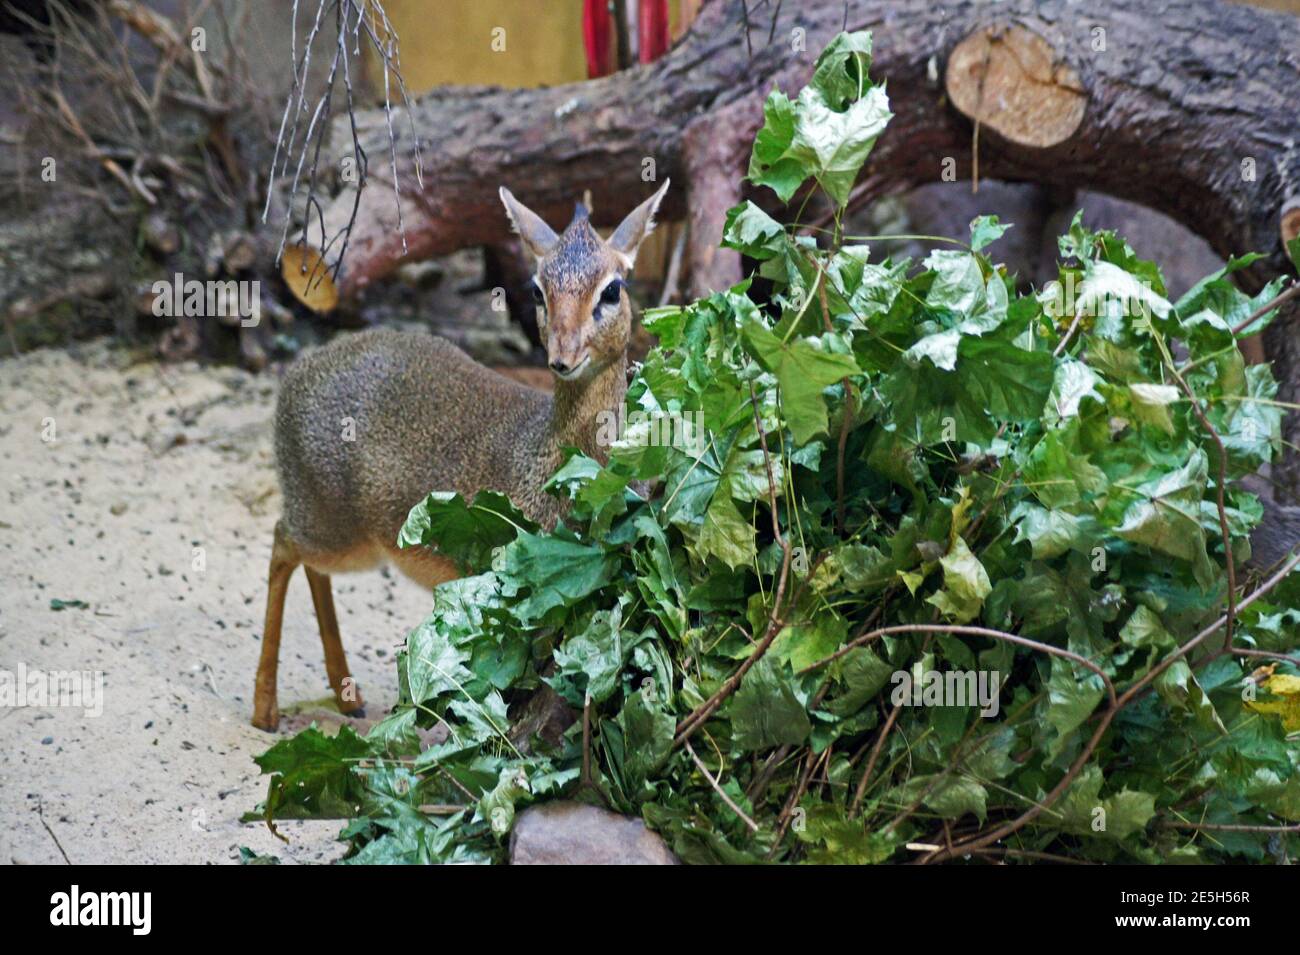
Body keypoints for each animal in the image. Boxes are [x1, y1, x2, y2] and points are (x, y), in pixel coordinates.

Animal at [251, 181, 670, 730]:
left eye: (612, 289)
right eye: (537, 290)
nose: (563, 357)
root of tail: (295, 377)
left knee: (306, 565)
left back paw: (348, 696)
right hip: (335, 530)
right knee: (282, 544)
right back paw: (266, 708)